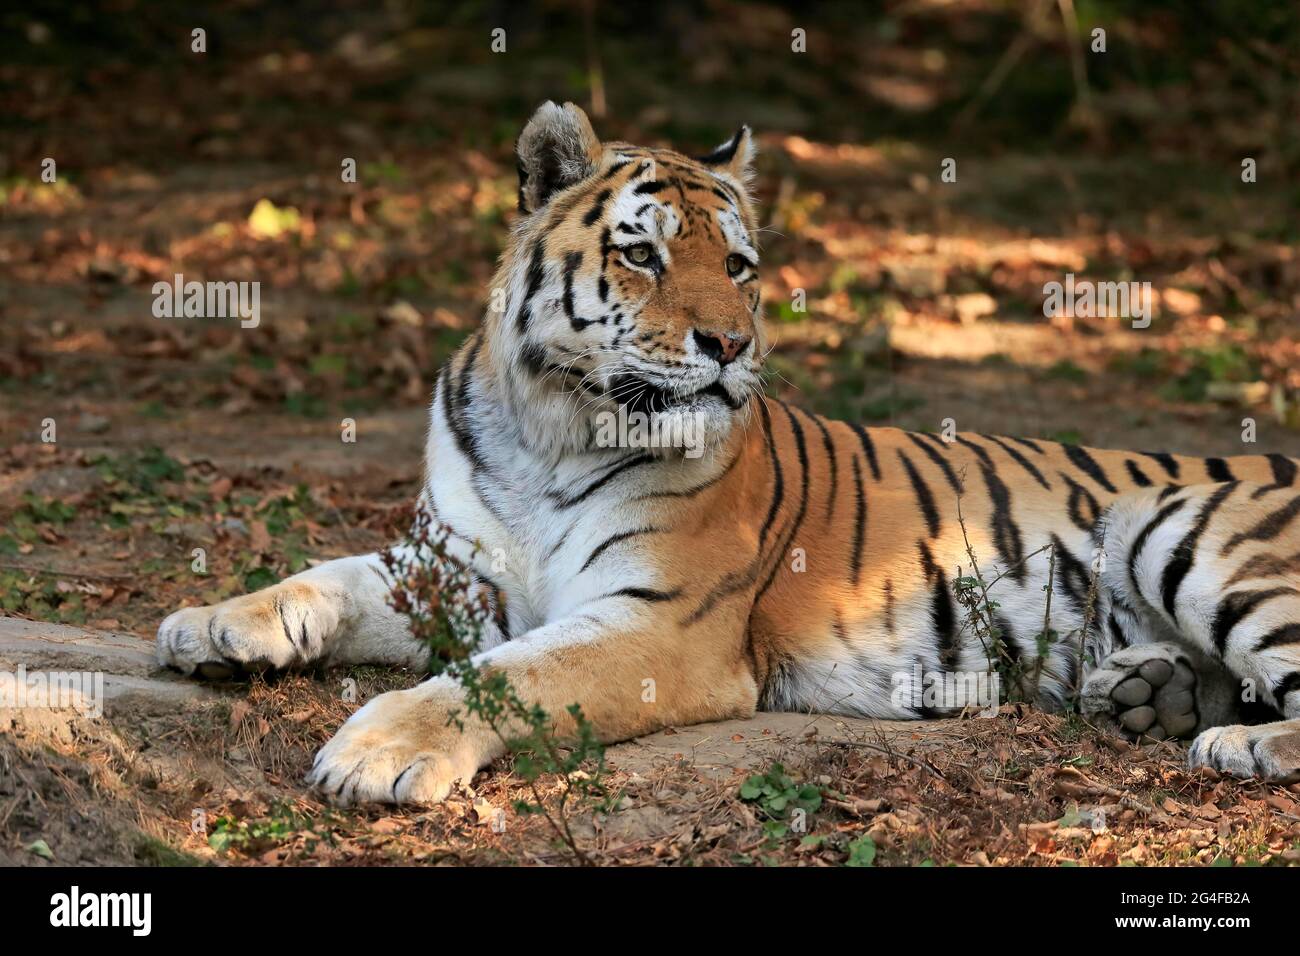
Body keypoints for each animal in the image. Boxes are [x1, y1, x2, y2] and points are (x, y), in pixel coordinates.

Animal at [157, 101, 1300, 805]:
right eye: (642, 253)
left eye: (740, 266)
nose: (731, 344)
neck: (548, 425)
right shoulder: (454, 566)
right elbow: (328, 576)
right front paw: (213, 622)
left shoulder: (658, 623)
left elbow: (498, 678)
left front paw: (381, 750)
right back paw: (1147, 695)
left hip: (1173, 525)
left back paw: (1234, 741)